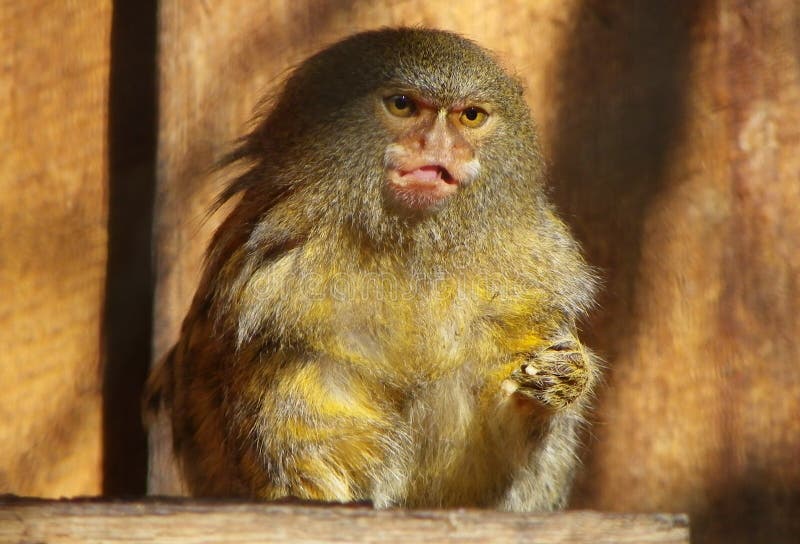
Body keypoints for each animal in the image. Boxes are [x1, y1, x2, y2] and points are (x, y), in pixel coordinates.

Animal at [144, 28, 599, 511]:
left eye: (471, 116)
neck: (414, 253)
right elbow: (305, 441)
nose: (440, 148)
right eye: (402, 105)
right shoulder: (281, 308)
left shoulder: (530, 288)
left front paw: (564, 377)